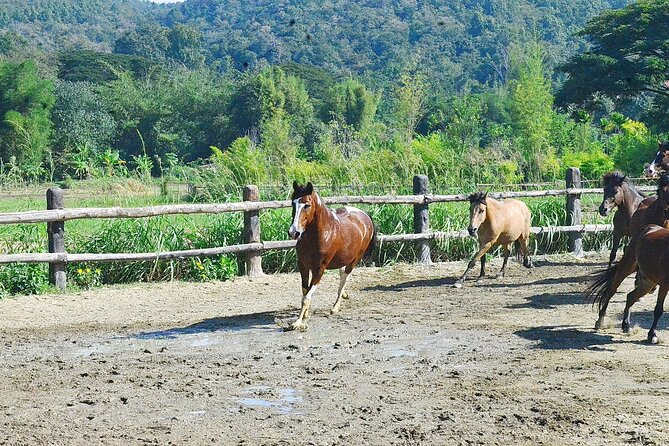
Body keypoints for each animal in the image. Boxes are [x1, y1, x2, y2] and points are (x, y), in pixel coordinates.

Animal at [286, 181, 376, 331]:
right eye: (293, 203)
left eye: (307, 205)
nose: (294, 232)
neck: (321, 235)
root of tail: (365, 216)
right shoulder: (303, 266)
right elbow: (305, 292)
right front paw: (305, 315)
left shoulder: (319, 269)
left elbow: (307, 297)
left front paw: (298, 323)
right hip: (343, 258)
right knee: (341, 273)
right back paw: (344, 296)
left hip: (354, 259)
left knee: (345, 278)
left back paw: (336, 307)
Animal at [586, 174, 669, 330]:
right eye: (604, 189)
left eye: (615, 191)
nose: (603, 209)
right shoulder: (617, 233)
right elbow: (613, 255)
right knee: (614, 288)